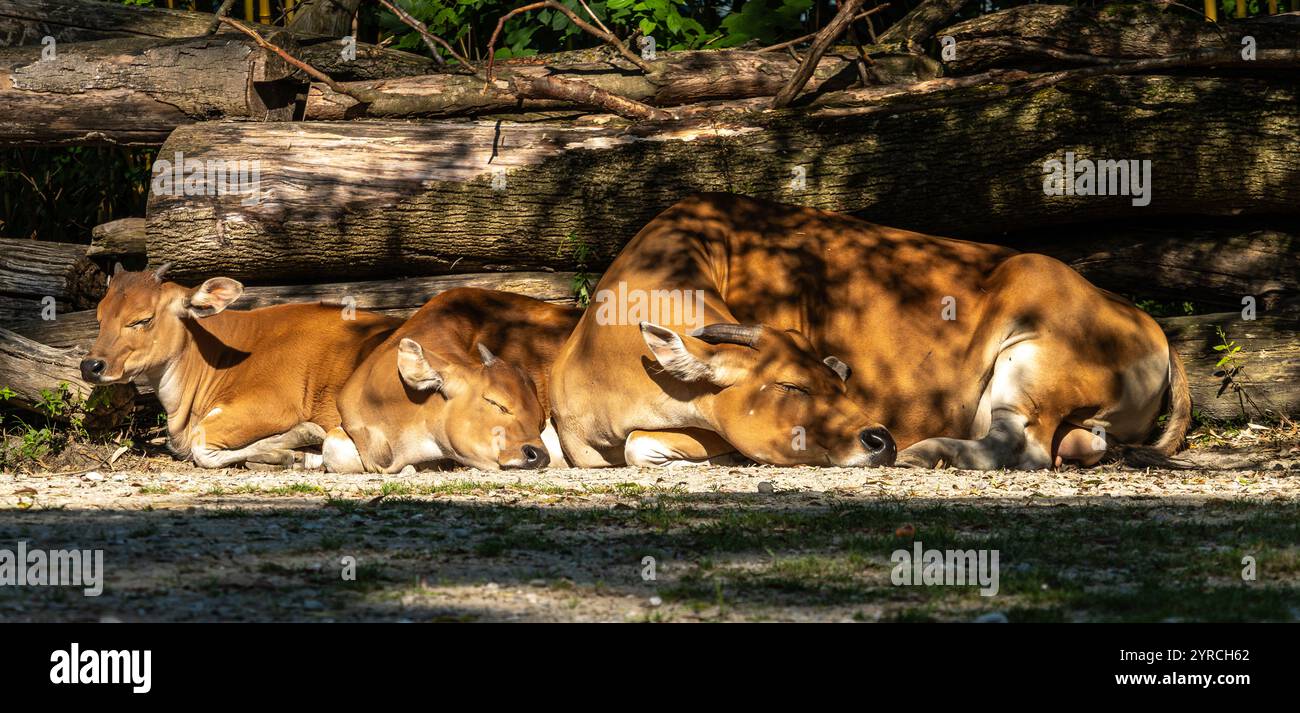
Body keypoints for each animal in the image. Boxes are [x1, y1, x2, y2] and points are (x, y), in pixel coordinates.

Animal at [80, 265, 402, 468]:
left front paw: (299, 446)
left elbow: (200, 444)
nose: (91, 365)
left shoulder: (272, 404)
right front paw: (298, 454)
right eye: (99, 318)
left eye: (143, 319)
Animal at [548, 193, 1190, 470]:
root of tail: (1148, 323)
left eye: (841, 385)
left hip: (1032, 356)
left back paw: (929, 451)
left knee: (1022, 446)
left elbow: (647, 444)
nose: (879, 438)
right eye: (792, 386)